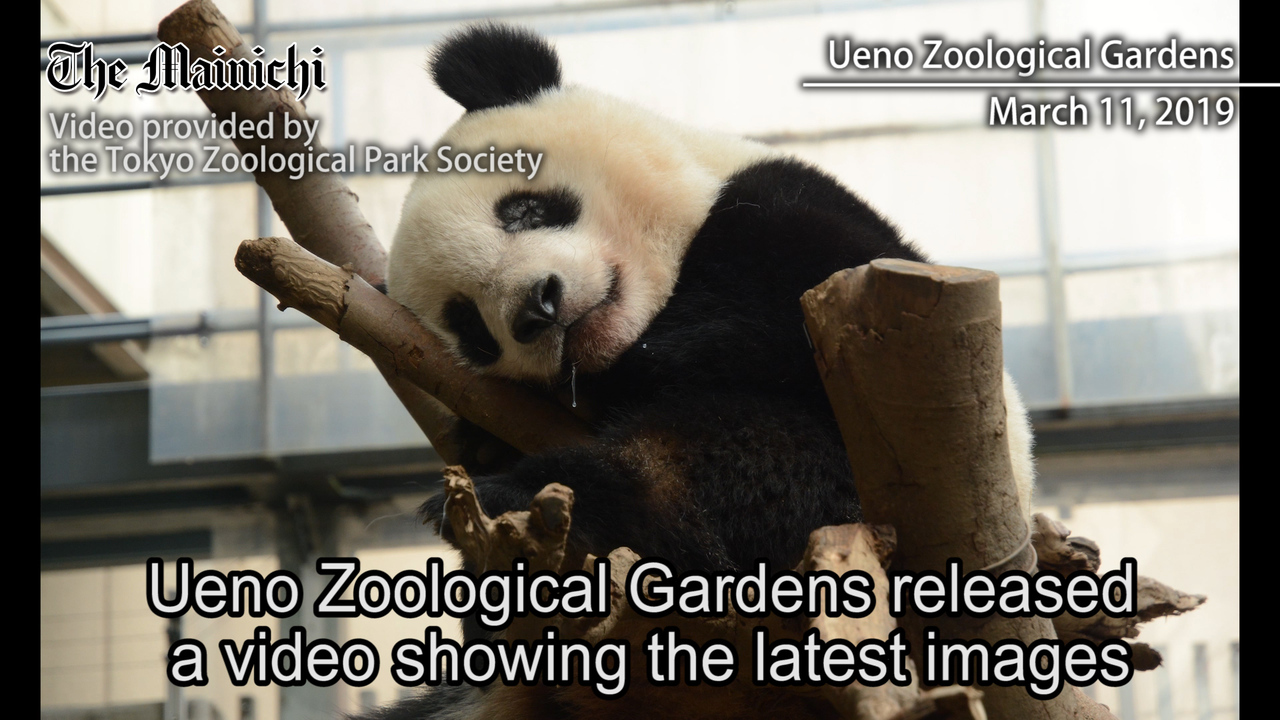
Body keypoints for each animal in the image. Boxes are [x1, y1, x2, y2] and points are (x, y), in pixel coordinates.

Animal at [387, 24, 1035, 580]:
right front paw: (483, 440)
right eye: (471, 327)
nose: (537, 308)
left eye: (524, 210)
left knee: (735, 462)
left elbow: (792, 309)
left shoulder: (796, 215)